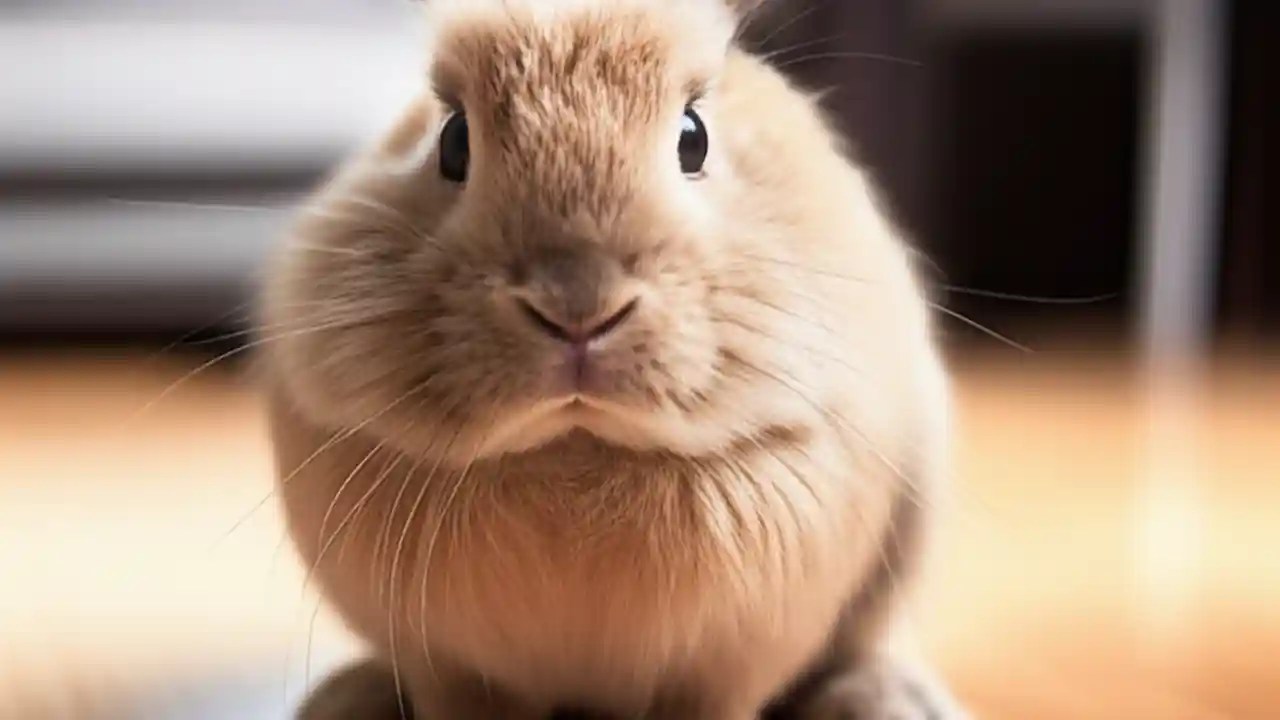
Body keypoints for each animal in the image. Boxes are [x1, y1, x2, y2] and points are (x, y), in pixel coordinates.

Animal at [259, 0, 965, 717]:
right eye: (454, 142)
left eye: (692, 139)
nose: (577, 305)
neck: (577, 447)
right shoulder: (450, 671)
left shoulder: (727, 664)